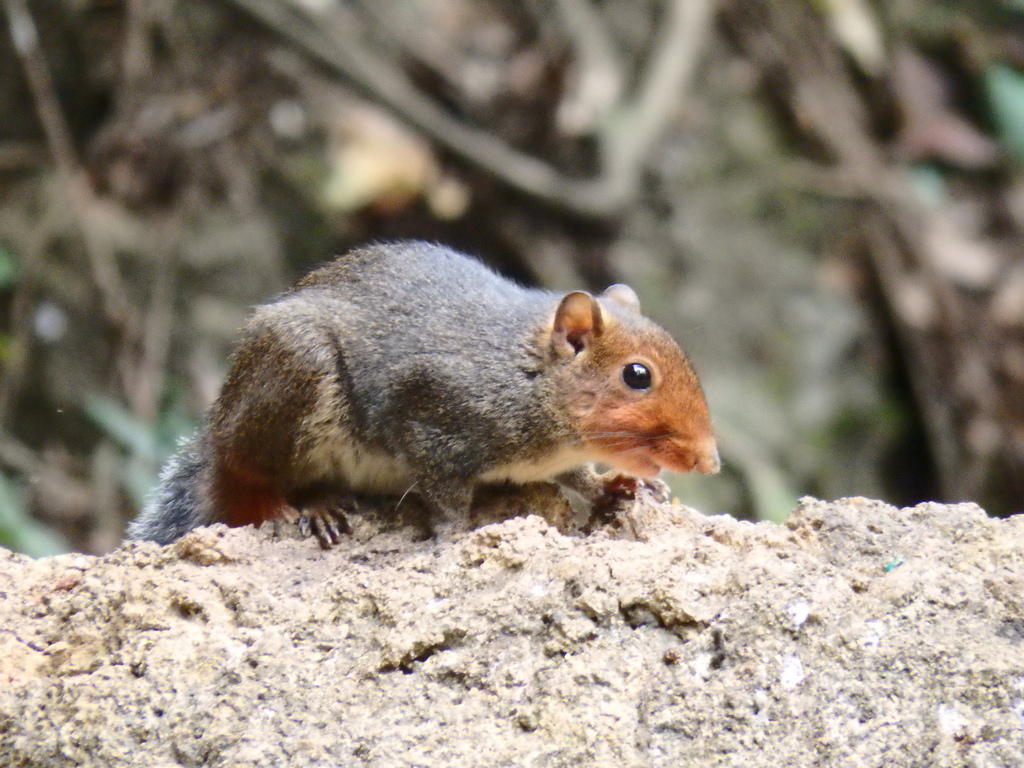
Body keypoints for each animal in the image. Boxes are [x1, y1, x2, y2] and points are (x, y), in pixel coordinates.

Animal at [127, 241, 719, 547]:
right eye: (637, 375)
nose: (710, 461)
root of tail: (218, 431)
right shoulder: (433, 420)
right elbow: (445, 492)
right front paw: (456, 534)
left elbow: (577, 477)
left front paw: (614, 487)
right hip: (293, 380)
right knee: (261, 476)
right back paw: (312, 505)